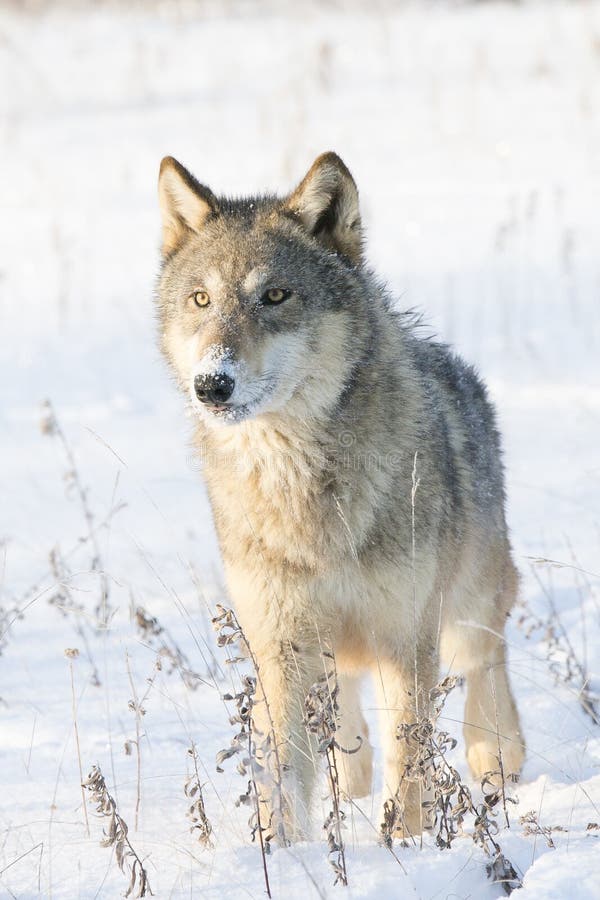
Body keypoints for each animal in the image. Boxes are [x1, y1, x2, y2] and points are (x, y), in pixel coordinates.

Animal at [155, 151, 524, 841]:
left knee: (486, 664)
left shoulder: (406, 636)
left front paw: (408, 844)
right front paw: (282, 850)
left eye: (275, 295)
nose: (212, 384)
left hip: (465, 609)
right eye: (201, 299)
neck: (300, 483)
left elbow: (411, 764)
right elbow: (281, 769)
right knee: (345, 721)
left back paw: (499, 760)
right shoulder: (280, 644)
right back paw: (349, 783)